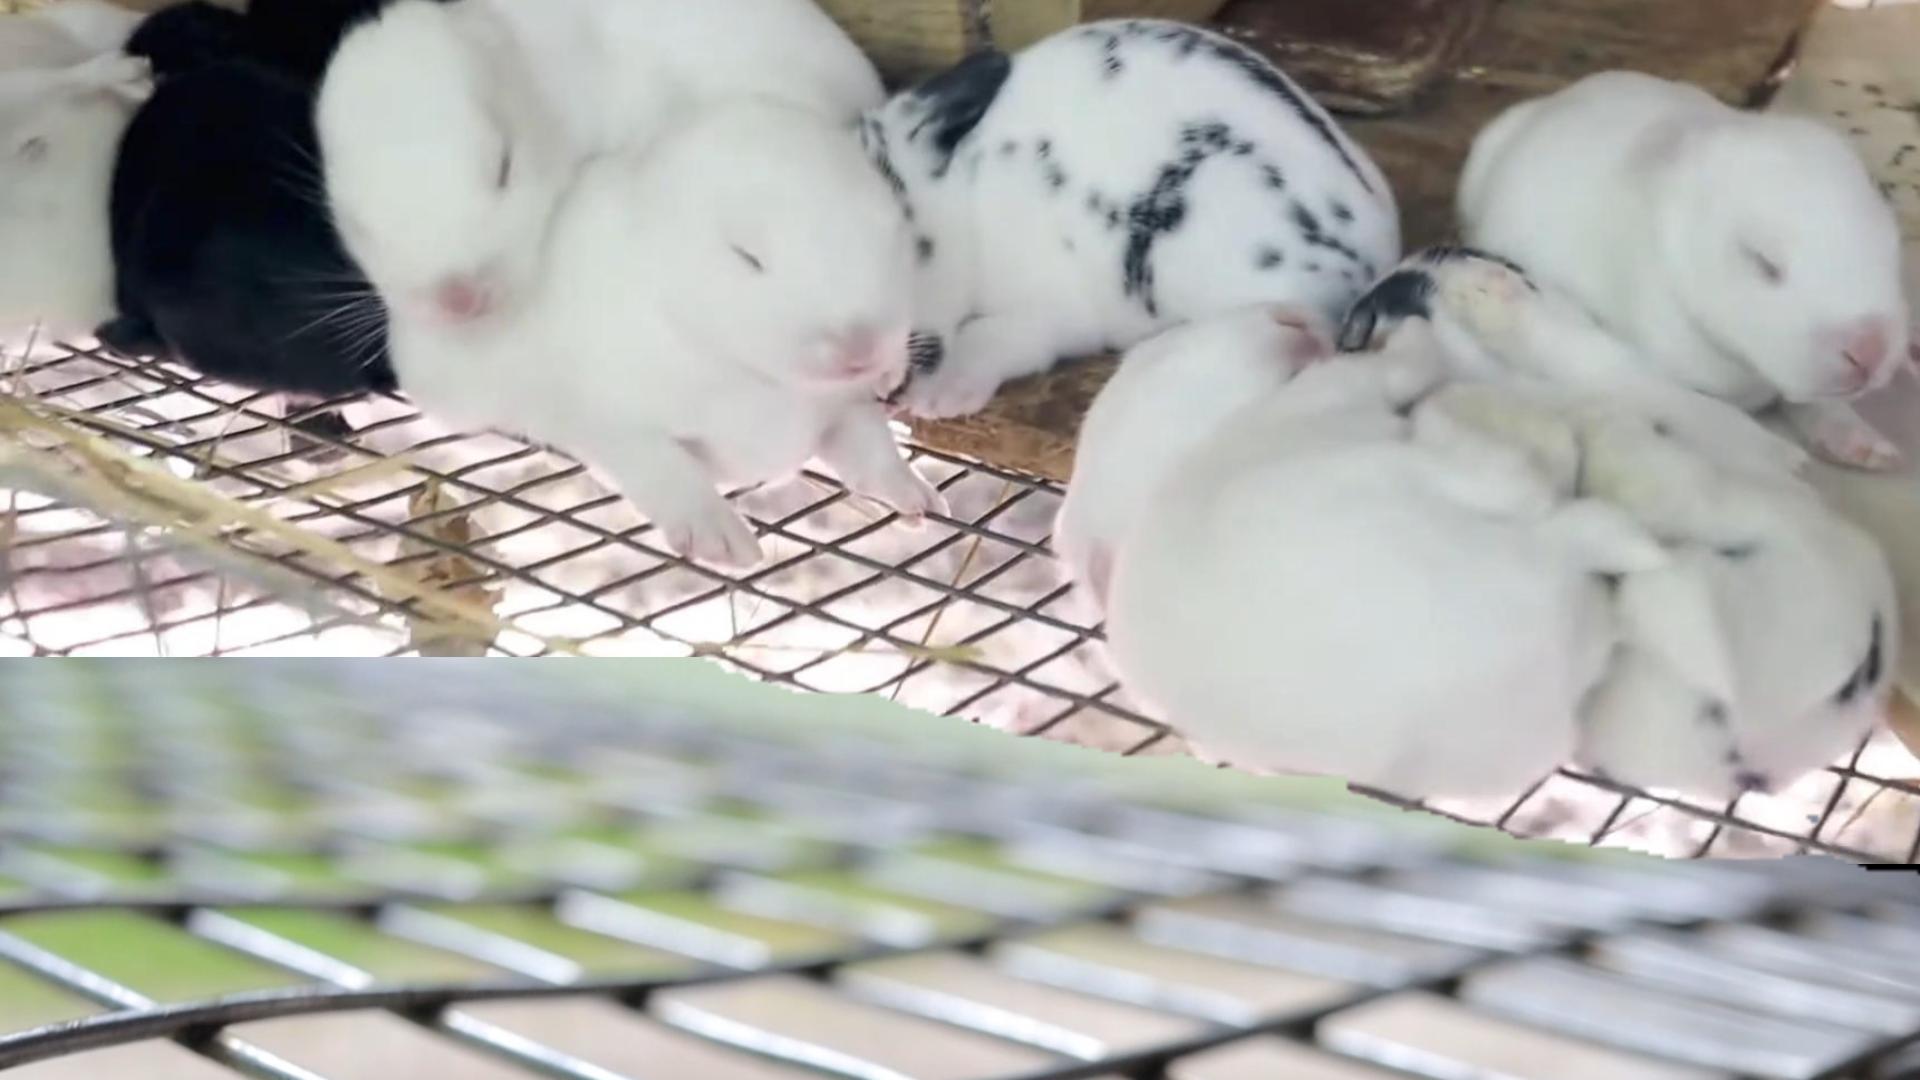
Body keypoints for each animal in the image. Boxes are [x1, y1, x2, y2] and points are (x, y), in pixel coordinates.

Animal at [385, 98, 941, 569]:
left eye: (894, 230)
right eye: (747, 255)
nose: (862, 349)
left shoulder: (841, 409)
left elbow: (871, 446)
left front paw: (922, 500)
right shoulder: (616, 428)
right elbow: (670, 473)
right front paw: (725, 542)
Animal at [865, 19, 1401, 420]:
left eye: (907, 248)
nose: (877, 383)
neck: (968, 201)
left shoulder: (1049, 309)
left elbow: (992, 338)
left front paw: (939, 397)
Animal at [1457, 70, 1915, 473]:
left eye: (1888, 243)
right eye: (1763, 261)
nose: (1871, 353)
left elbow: (1815, 403)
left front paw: (1864, 445)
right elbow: (1700, 409)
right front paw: (1784, 458)